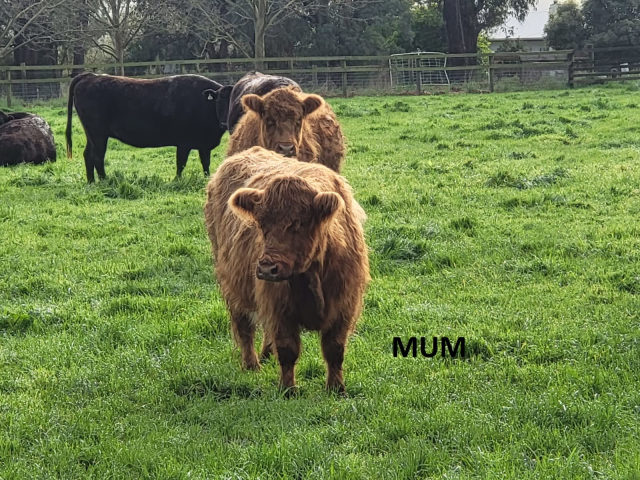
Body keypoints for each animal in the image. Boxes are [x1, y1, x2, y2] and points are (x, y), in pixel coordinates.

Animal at [66, 72, 231, 183]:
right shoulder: (184, 143)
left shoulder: (203, 145)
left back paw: (92, 181)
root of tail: (91, 76)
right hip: (98, 135)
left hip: (92, 135)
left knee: (88, 155)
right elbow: (181, 163)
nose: (225, 123)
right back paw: (104, 180)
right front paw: (177, 180)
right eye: (219, 102)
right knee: (97, 156)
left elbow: (205, 163)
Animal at [204, 146, 369, 393]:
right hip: (232, 284)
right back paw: (252, 364)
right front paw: (288, 390)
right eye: (261, 225)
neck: (311, 276)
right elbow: (288, 349)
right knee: (244, 326)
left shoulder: (344, 305)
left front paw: (336, 388)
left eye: (299, 223)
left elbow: (334, 349)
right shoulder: (279, 306)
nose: (266, 268)